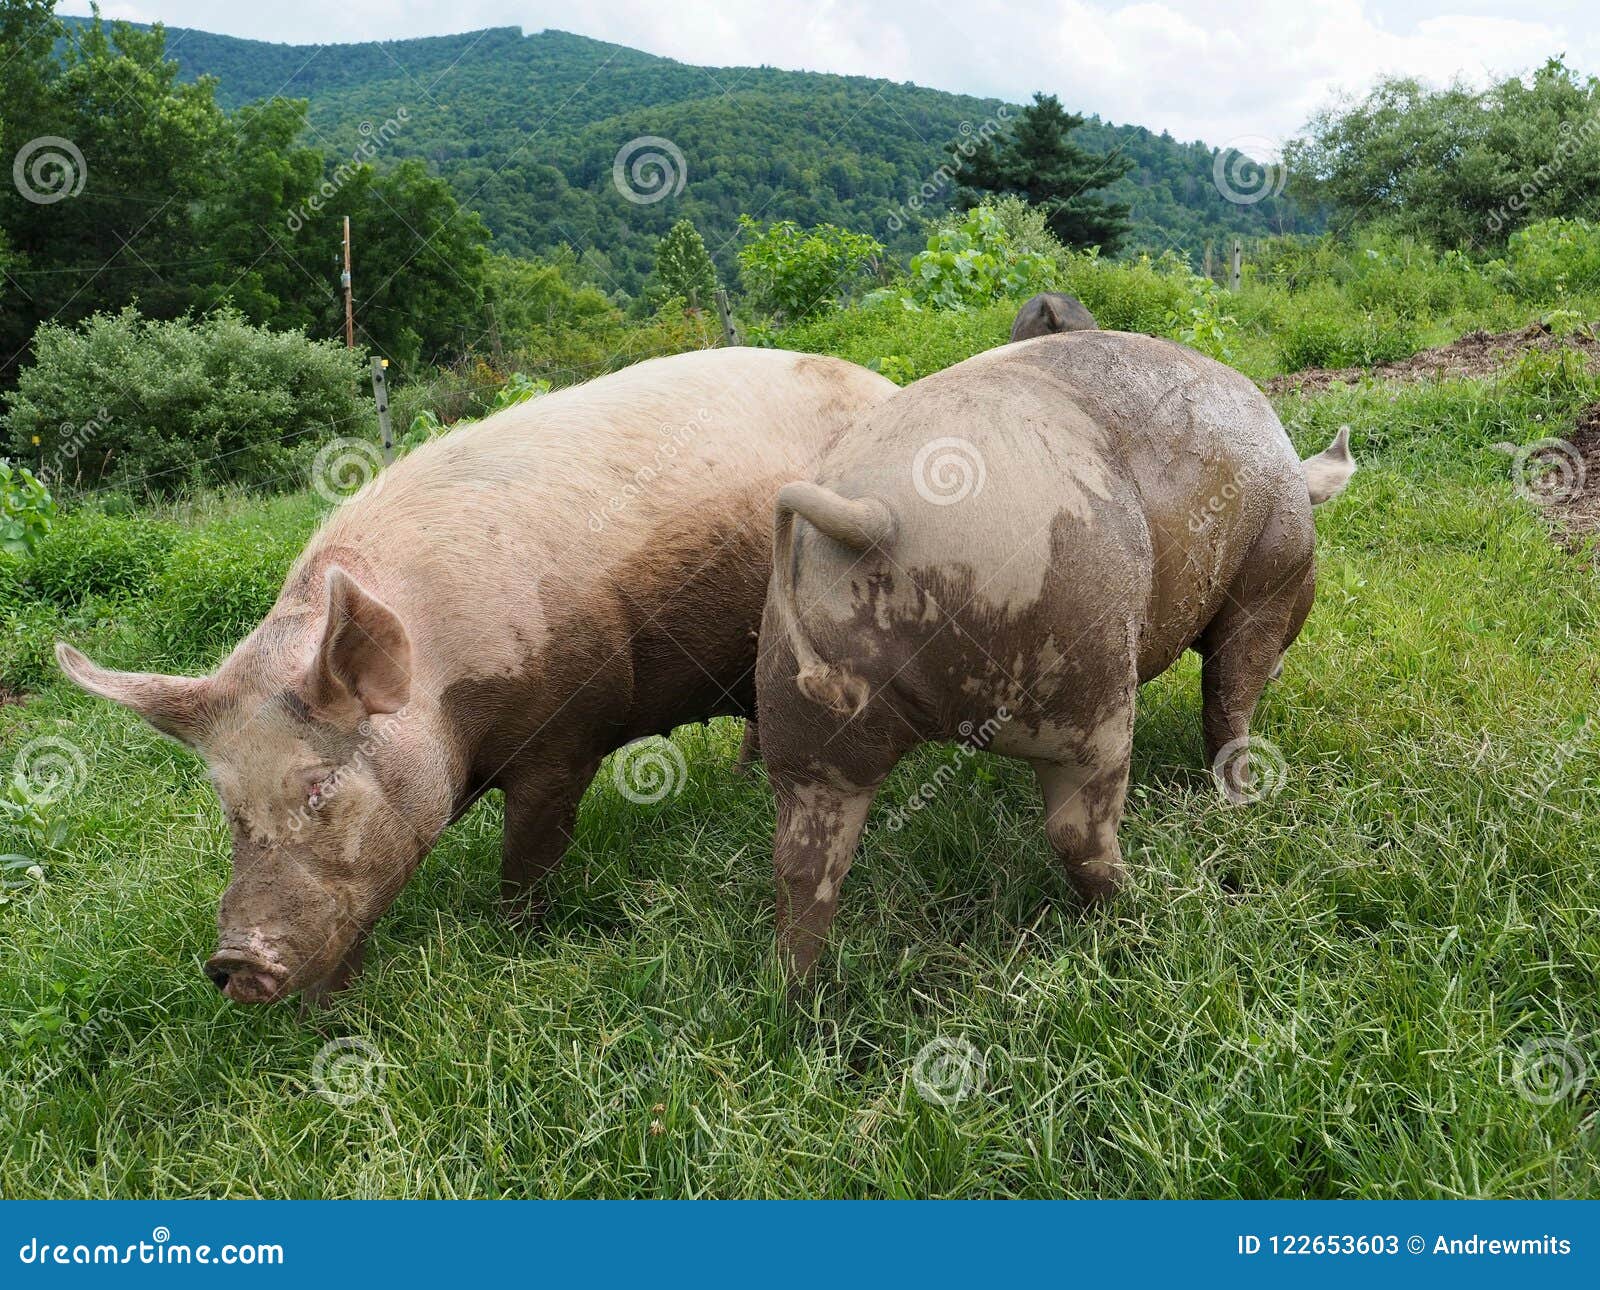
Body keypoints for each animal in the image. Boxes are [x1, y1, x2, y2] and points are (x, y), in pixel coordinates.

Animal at [56, 347, 896, 1006]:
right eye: (226, 804)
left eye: (319, 786)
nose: (232, 962)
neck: (446, 692)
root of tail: (880, 382)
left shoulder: (567, 731)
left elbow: (529, 852)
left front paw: (516, 940)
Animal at [757, 330, 1354, 981]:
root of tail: (872, 515)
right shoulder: (1268, 583)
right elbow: (1229, 696)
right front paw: (1240, 794)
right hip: (1081, 677)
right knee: (1080, 827)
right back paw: (1136, 909)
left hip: (795, 710)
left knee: (802, 861)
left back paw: (797, 992)